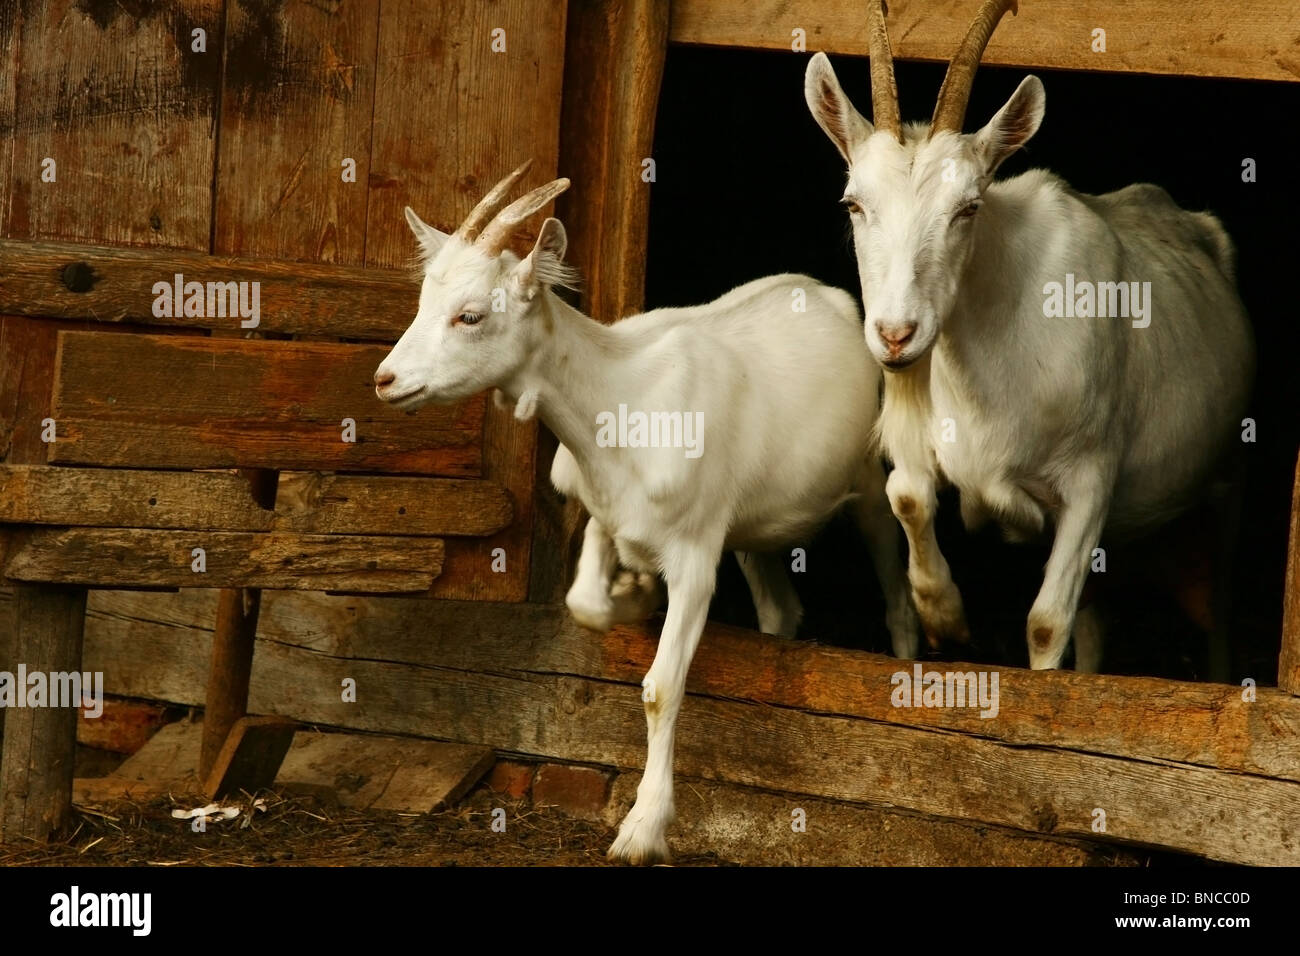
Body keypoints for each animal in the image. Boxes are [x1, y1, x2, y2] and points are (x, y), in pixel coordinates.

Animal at [374, 162, 917, 863]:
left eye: (470, 316)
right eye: (421, 303)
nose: (385, 380)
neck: (620, 399)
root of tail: (828, 295)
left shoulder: (695, 554)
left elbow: (661, 688)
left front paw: (643, 828)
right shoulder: (606, 511)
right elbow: (582, 603)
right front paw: (631, 594)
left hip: (869, 478)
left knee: (893, 578)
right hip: (751, 523)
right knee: (780, 606)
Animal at [804, 0, 1254, 672]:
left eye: (968, 208)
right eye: (853, 204)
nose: (896, 334)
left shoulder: (1092, 482)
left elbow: (1045, 624)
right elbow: (907, 493)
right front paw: (946, 620)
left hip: (1225, 482)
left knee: (1219, 601)